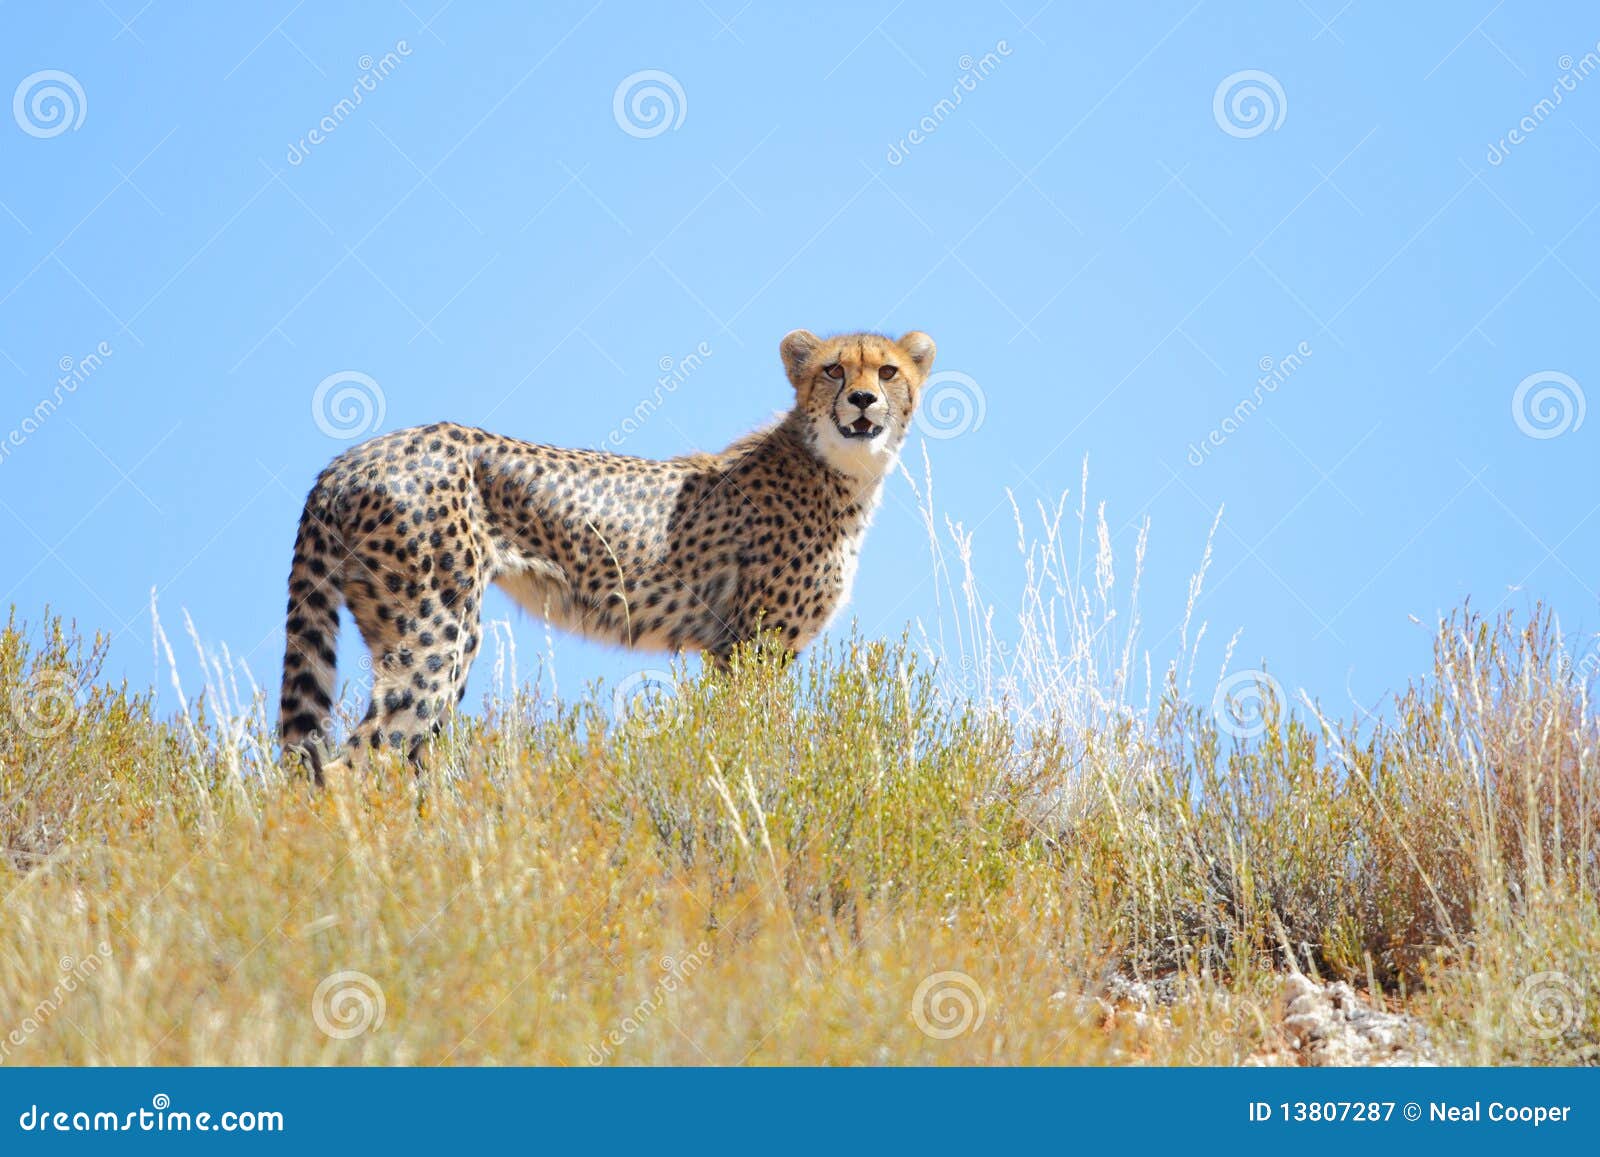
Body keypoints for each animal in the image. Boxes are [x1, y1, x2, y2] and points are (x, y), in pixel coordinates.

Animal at [277, 328, 936, 778]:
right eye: (833, 370)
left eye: (887, 370)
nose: (862, 400)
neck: (838, 470)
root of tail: (351, 456)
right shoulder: (751, 647)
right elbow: (757, 737)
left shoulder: (735, 649)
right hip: (435, 630)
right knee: (352, 762)